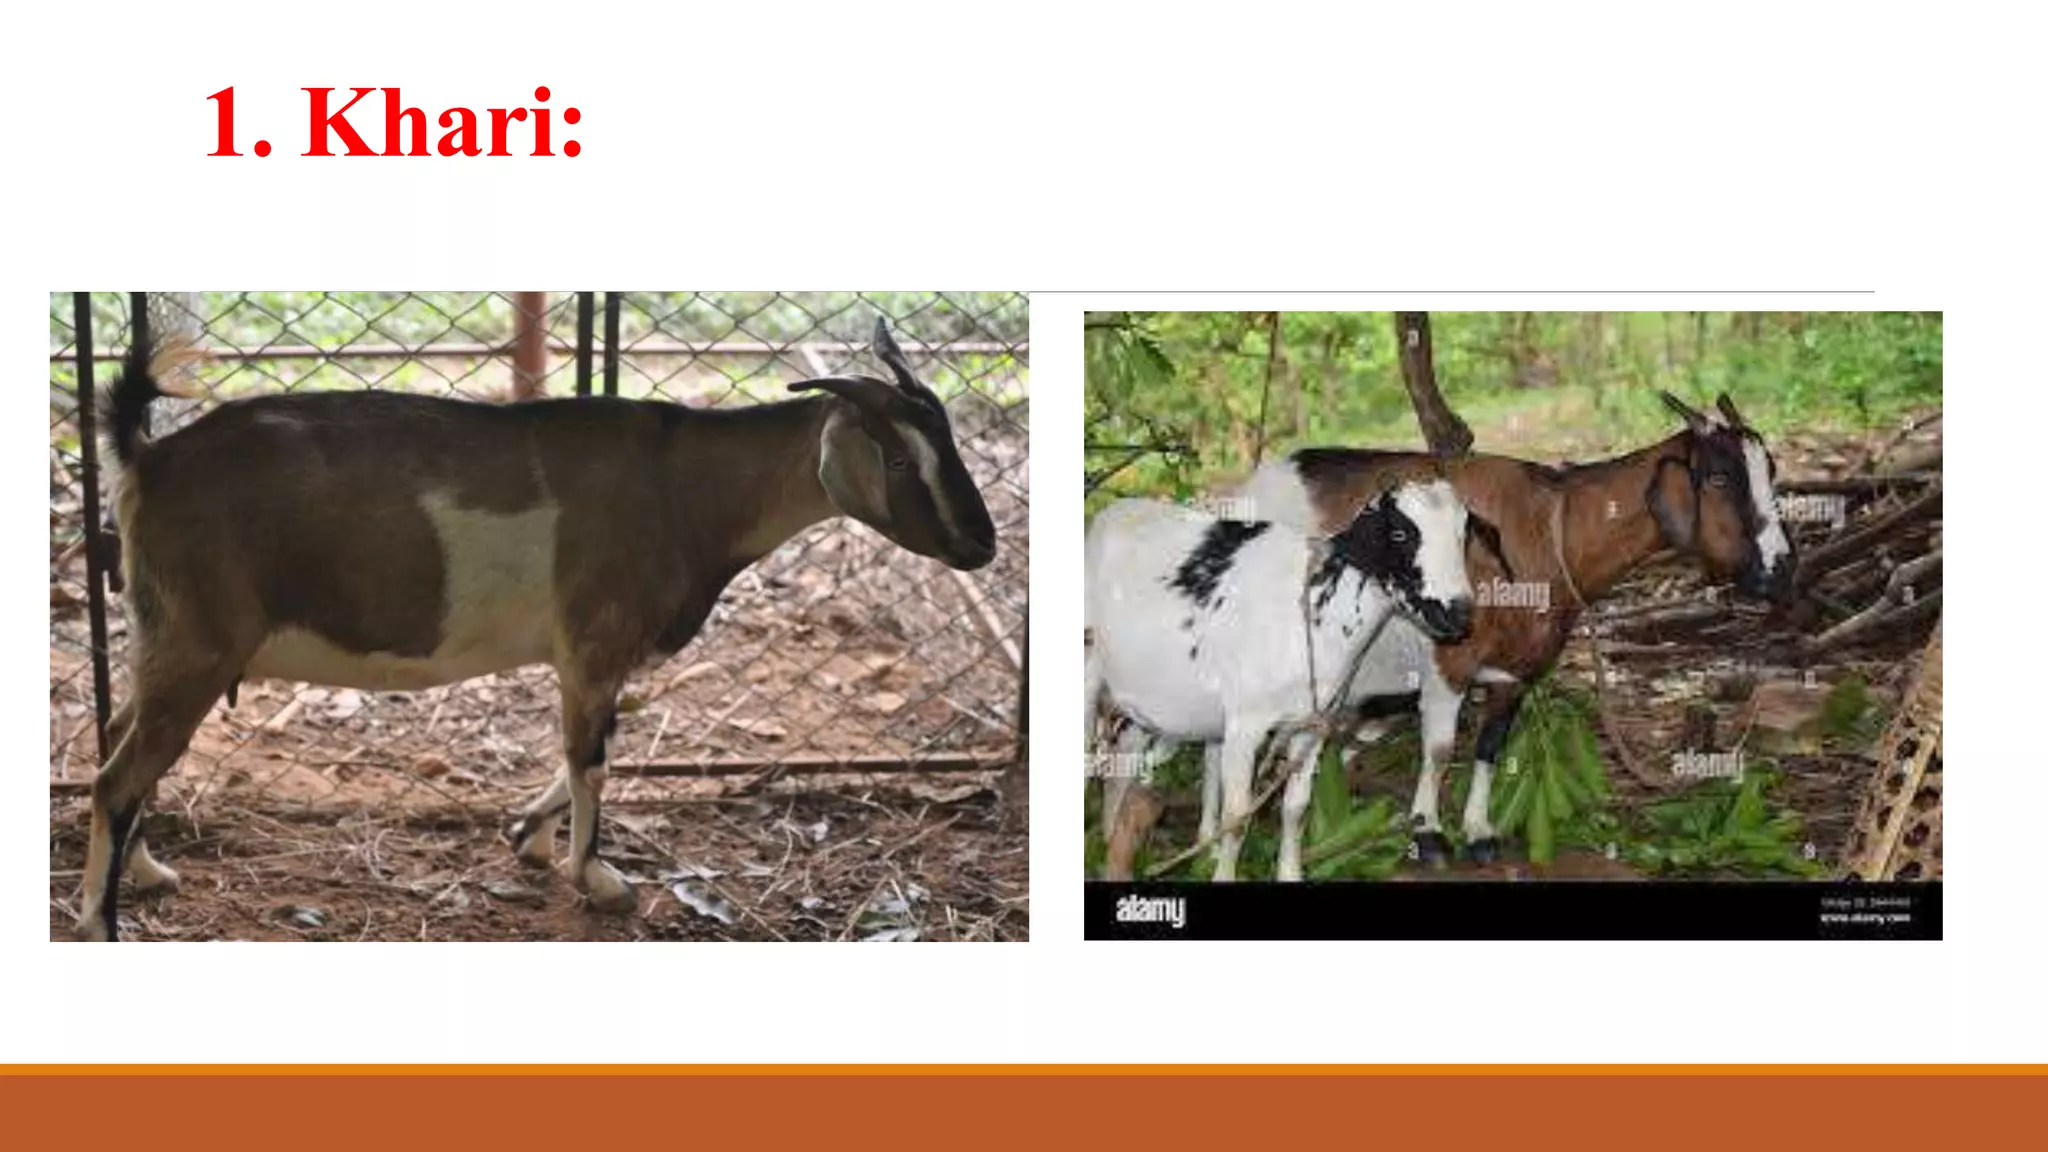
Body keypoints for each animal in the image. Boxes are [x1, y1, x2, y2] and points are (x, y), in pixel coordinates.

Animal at [74, 317, 997, 941]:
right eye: (902, 459)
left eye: (951, 440)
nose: (981, 545)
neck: (687, 489)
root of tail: (146, 459)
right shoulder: (595, 638)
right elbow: (591, 757)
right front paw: (598, 877)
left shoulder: (588, 657)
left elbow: (585, 748)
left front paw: (527, 835)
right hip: (197, 641)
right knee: (118, 775)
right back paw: (99, 922)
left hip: (162, 636)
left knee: (122, 745)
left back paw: (147, 869)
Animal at [1084, 479, 1480, 881]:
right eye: (1400, 533)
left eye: (1462, 533)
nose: (1459, 614)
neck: (1315, 612)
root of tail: (1113, 513)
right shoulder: (1246, 726)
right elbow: (1237, 817)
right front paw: (1225, 875)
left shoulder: (1312, 727)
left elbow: (1296, 808)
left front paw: (1289, 873)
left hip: (1142, 697)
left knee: (1123, 760)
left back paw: (1117, 843)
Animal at [1222, 391, 1795, 867]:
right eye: (1719, 479)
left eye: (1770, 471)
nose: (1784, 568)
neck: (1552, 531)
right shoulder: (1449, 661)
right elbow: (1440, 750)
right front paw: (1427, 834)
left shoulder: (1516, 672)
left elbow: (1490, 749)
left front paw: (1478, 831)